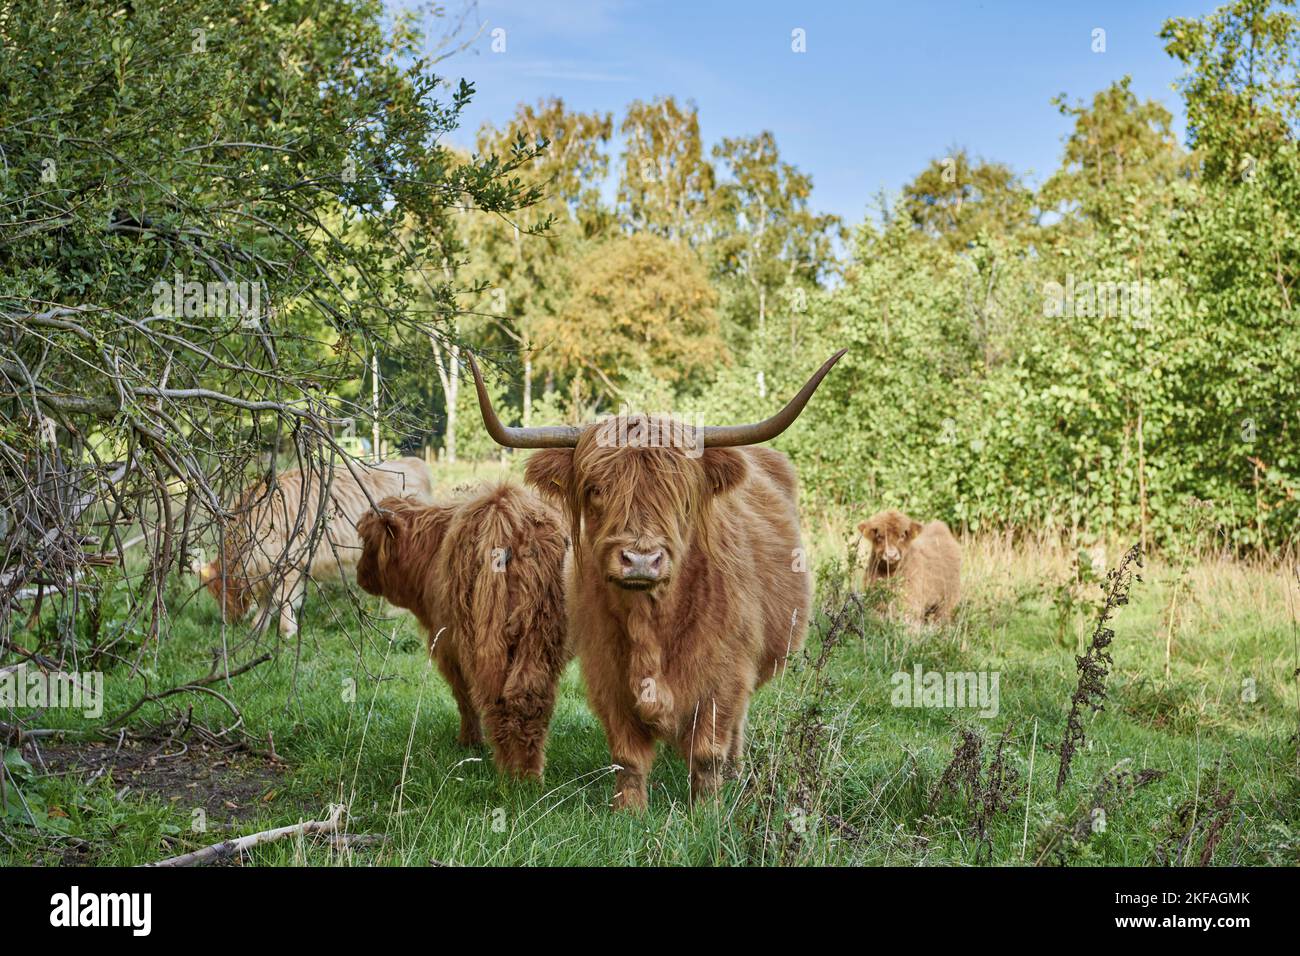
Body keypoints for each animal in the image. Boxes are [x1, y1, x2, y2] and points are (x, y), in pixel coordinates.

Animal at [199, 457, 433, 636]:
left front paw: (286, 631)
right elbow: (269, 601)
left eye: (219, 594)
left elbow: (281, 599)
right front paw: (257, 628)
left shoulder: (285, 564)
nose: (230, 621)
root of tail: (414, 463)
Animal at [355, 484, 569, 780]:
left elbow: (463, 696)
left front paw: (468, 742)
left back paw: (514, 773)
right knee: (524, 693)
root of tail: (503, 508)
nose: (359, 574)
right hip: (533, 633)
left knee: (503, 697)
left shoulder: (447, 645)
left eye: (366, 541)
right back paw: (524, 774)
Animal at [468, 350, 845, 810]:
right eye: (596, 489)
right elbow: (627, 755)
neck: (651, 618)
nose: (641, 560)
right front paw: (629, 811)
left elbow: (708, 753)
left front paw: (708, 811)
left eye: (680, 493)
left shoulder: (725, 677)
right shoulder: (607, 675)